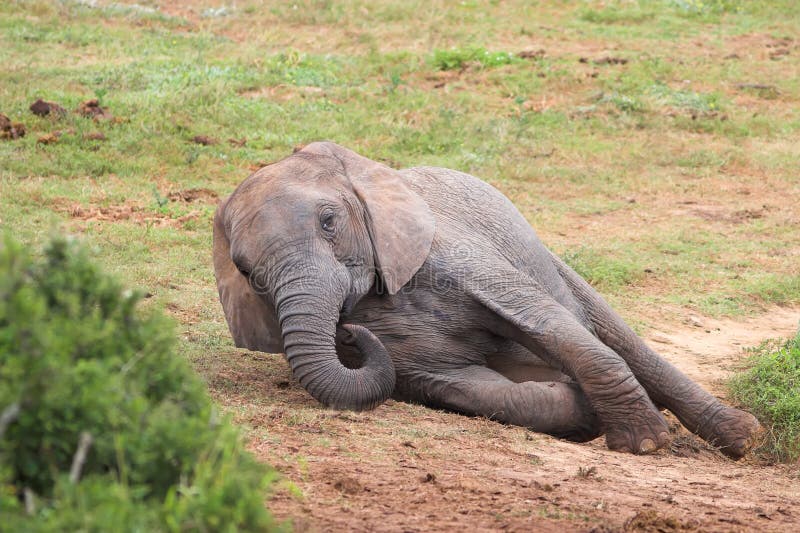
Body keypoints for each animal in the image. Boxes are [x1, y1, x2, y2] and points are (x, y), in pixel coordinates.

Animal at [213, 141, 761, 458]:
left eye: (329, 221)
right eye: (247, 272)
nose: (346, 326)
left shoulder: (453, 253)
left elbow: (547, 322)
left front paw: (643, 442)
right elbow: (475, 389)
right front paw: (575, 404)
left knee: (615, 335)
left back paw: (743, 437)